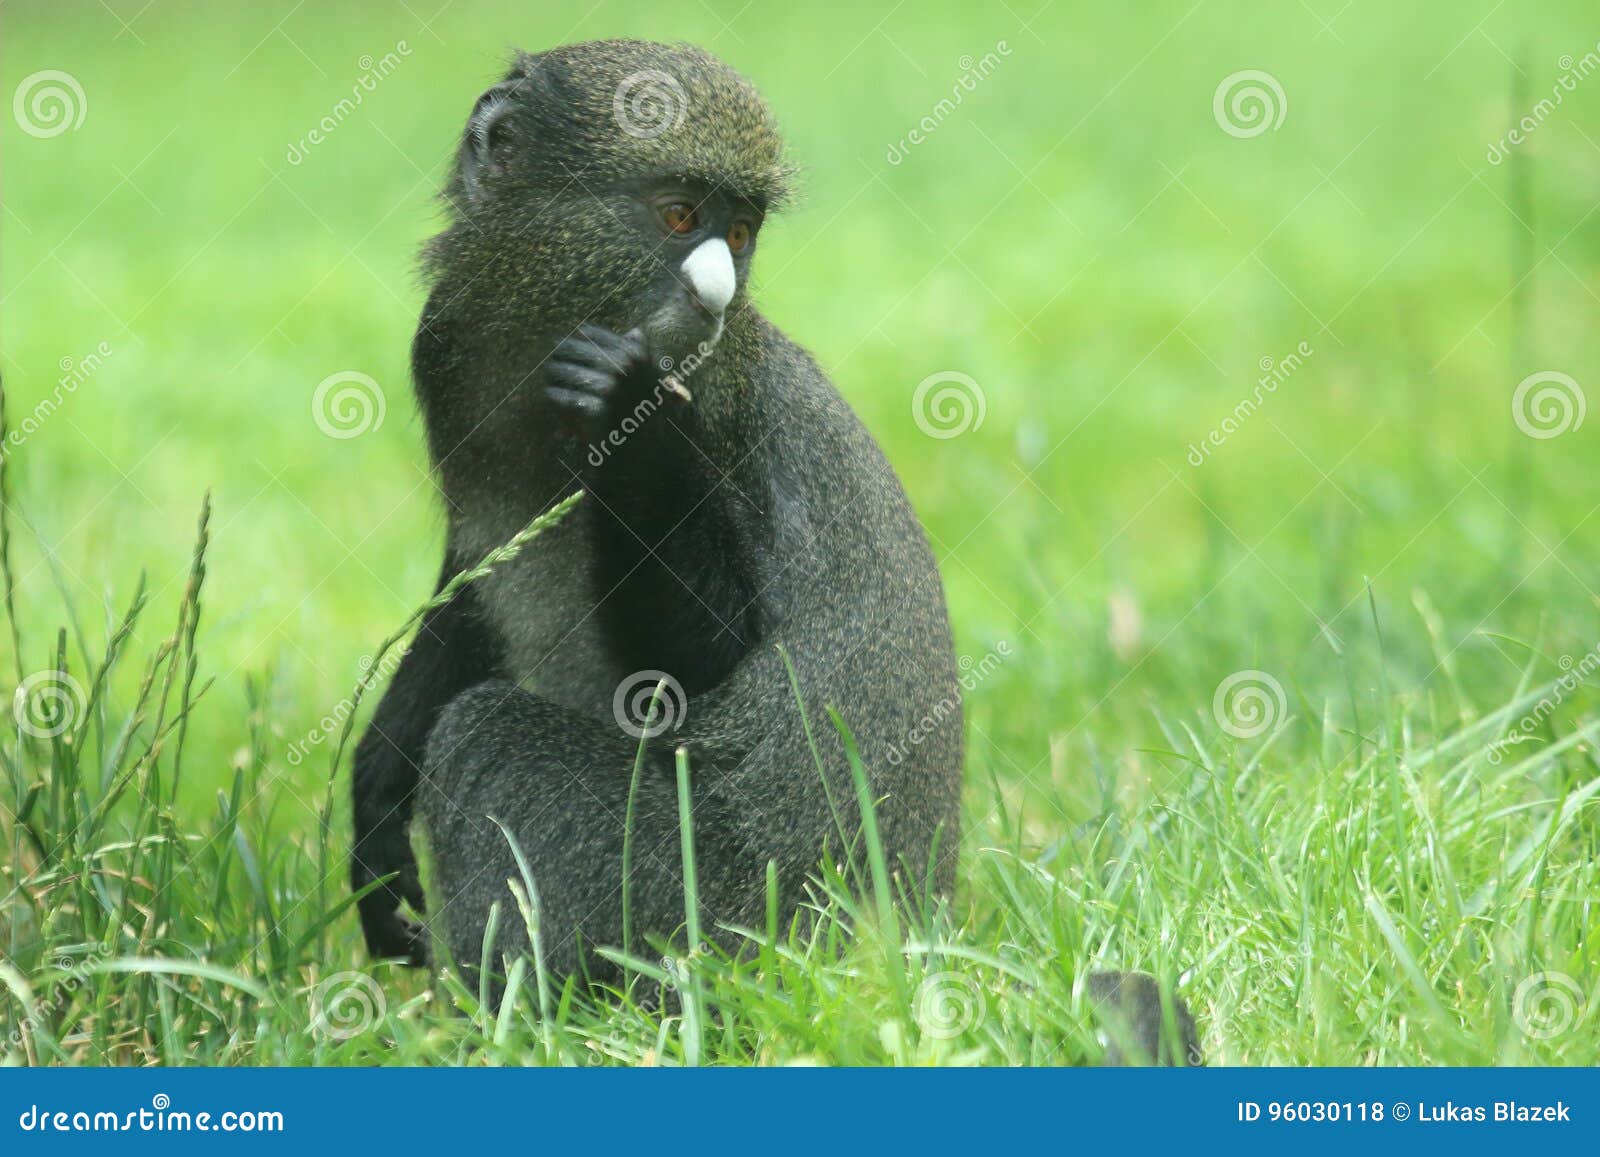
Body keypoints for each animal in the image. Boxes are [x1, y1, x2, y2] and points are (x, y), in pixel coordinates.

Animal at [348, 39, 1197, 1065]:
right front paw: (374, 800)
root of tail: (892, 941)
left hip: (716, 906)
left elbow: (696, 664)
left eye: (742, 231)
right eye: (680, 213)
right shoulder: (451, 356)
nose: (714, 294)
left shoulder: (715, 404)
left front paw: (635, 431)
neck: (534, 336)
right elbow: (471, 594)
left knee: (492, 737)